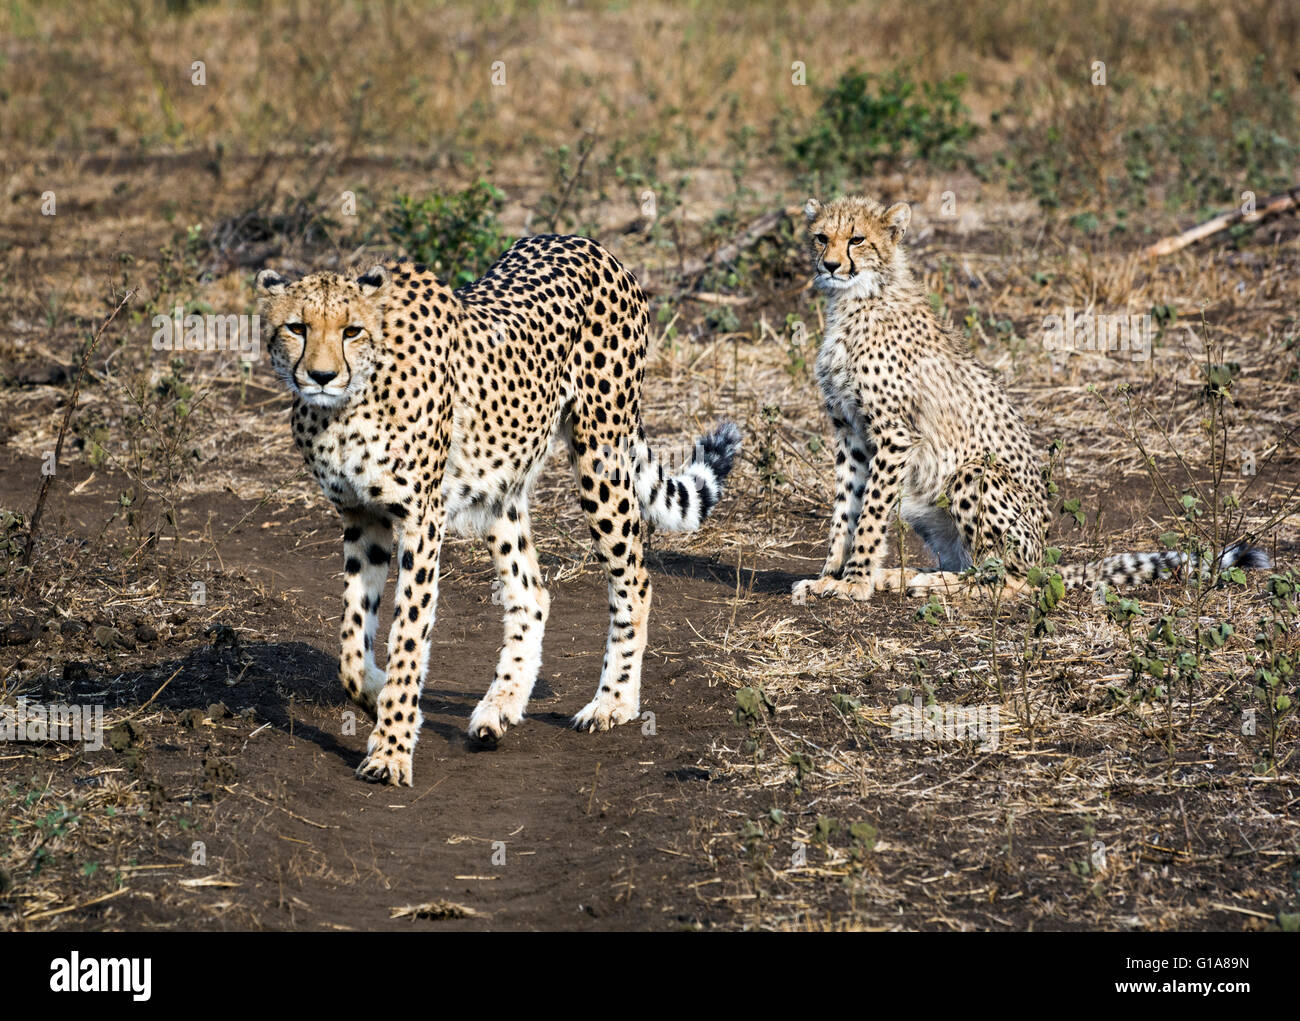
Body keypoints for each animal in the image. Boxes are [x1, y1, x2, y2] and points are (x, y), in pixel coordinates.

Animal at [257, 234, 740, 786]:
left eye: (351, 330)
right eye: (297, 327)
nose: (320, 376)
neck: (343, 408)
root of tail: (587, 243)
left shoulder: (421, 520)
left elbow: (408, 637)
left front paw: (392, 749)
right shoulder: (363, 517)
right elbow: (351, 648)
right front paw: (379, 694)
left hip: (600, 456)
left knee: (633, 579)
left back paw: (613, 702)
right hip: (499, 489)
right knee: (532, 593)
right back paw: (501, 705)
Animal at [791, 194, 1269, 605]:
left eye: (857, 239)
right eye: (822, 237)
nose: (830, 265)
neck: (856, 301)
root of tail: (1044, 557)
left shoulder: (894, 434)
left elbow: (869, 514)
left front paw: (855, 582)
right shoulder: (851, 432)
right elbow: (845, 507)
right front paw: (830, 576)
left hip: (974, 474)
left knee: (1010, 579)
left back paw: (929, 585)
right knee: (973, 563)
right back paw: (906, 576)